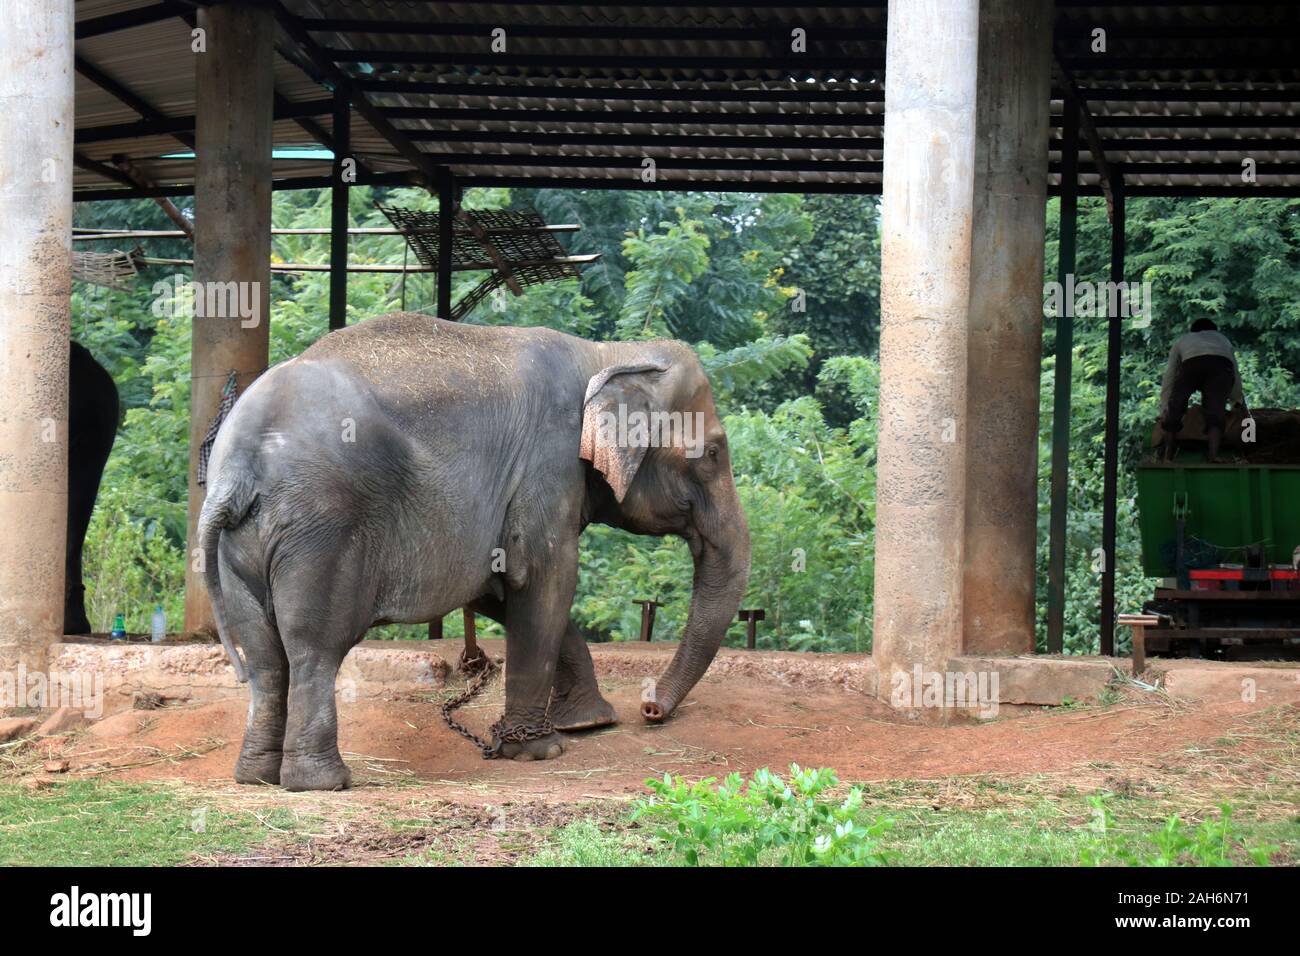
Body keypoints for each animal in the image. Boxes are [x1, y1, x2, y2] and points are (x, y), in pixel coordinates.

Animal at [199, 312, 751, 791]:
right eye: (714, 453)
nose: (650, 709)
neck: (607, 353)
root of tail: (238, 468)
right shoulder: (548, 464)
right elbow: (546, 578)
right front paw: (540, 751)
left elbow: (494, 586)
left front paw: (587, 724)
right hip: (321, 528)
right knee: (313, 648)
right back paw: (323, 783)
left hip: (243, 544)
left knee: (266, 654)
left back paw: (256, 776)